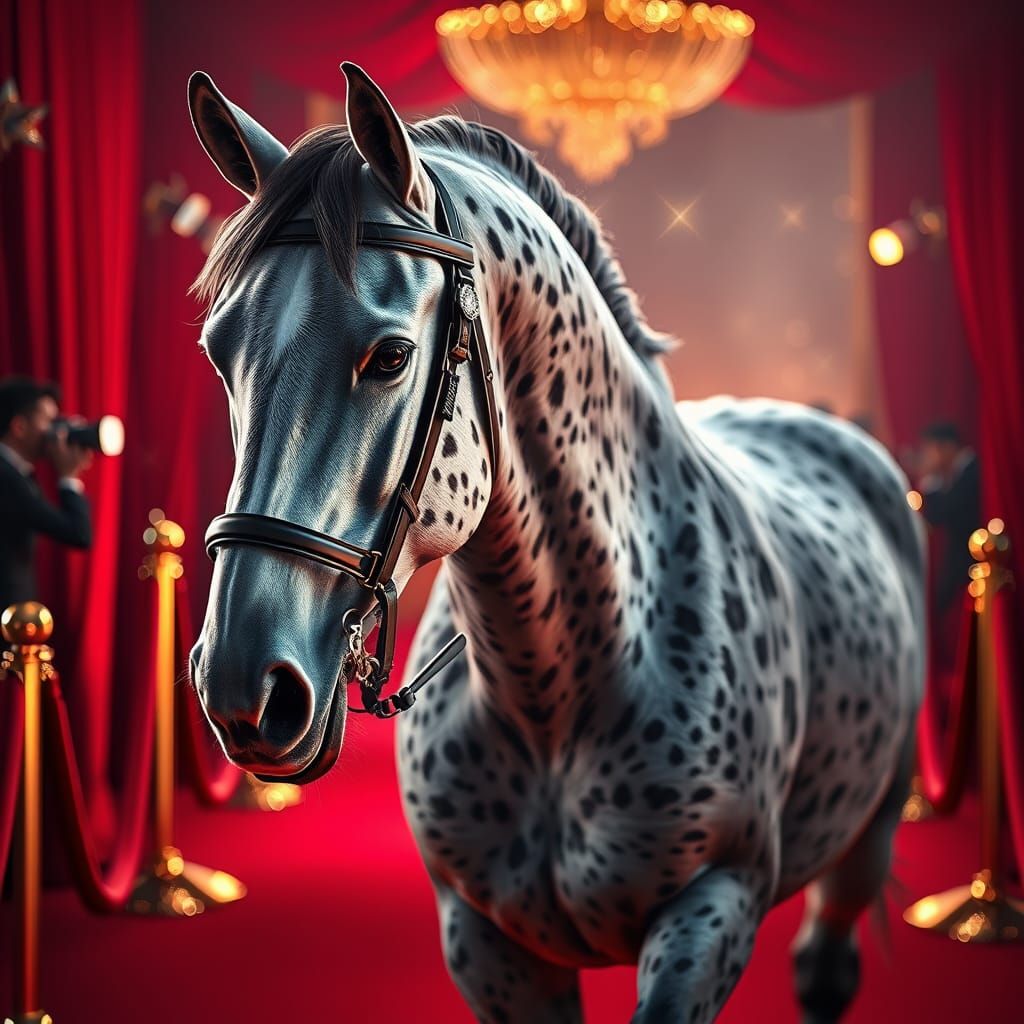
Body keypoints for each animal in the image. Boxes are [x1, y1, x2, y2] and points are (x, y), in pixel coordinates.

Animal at [186, 62, 925, 1023]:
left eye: (390, 357)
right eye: (219, 350)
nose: (244, 685)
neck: (558, 690)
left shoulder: (713, 909)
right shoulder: (486, 940)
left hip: (866, 837)